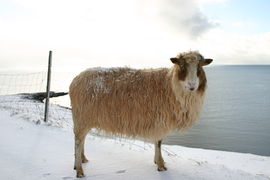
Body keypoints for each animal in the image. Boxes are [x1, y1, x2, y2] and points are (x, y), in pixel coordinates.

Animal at [69, 50, 213, 177]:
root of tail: (75, 80)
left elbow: (157, 142)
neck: (170, 86)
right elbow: (159, 142)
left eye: (200, 67)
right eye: (182, 66)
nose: (192, 86)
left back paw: (82, 160)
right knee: (78, 141)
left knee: (82, 139)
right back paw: (79, 170)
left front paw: (158, 161)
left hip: (85, 119)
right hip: (81, 117)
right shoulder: (159, 121)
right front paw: (160, 165)